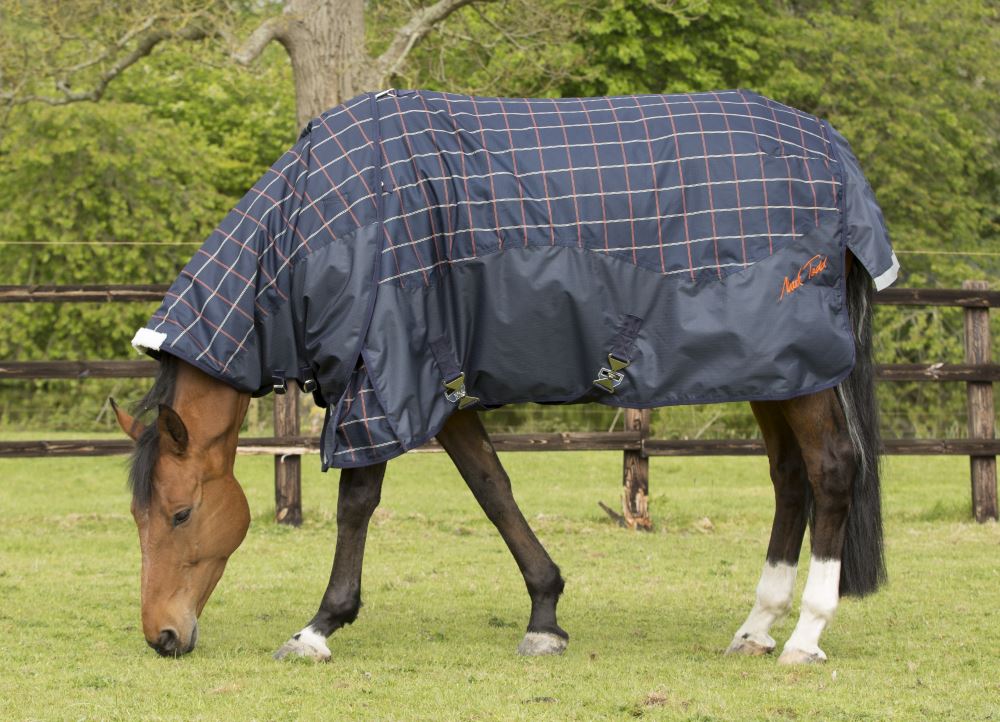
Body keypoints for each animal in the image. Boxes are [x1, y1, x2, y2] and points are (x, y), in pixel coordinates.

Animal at [113, 89, 892, 664]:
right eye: (138, 516)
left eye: (179, 513)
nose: (163, 636)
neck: (320, 226)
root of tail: (831, 150)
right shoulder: (445, 385)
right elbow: (493, 489)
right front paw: (545, 614)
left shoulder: (383, 379)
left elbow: (358, 502)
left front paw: (319, 626)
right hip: (774, 371)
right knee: (790, 479)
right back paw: (756, 627)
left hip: (806, 371)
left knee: (831, 470)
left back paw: (804, 635)